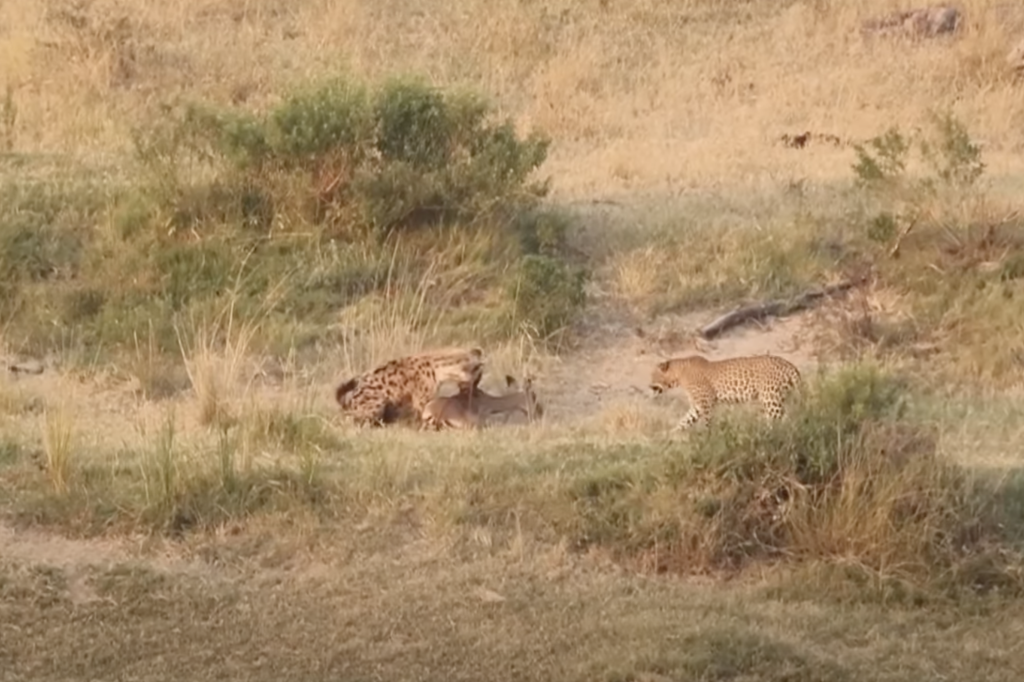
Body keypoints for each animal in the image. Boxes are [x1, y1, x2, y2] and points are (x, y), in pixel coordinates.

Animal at [649, 353, 802, 431]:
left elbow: (707, 424)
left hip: (770, 398)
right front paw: (671, 435)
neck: (679, 375)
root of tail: (789, 365)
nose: (649, 386)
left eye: (653, 376)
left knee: (785, 419)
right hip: (775, 399)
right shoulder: (696, 407)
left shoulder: (705, 404)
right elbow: (683, 421)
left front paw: (707, 438)